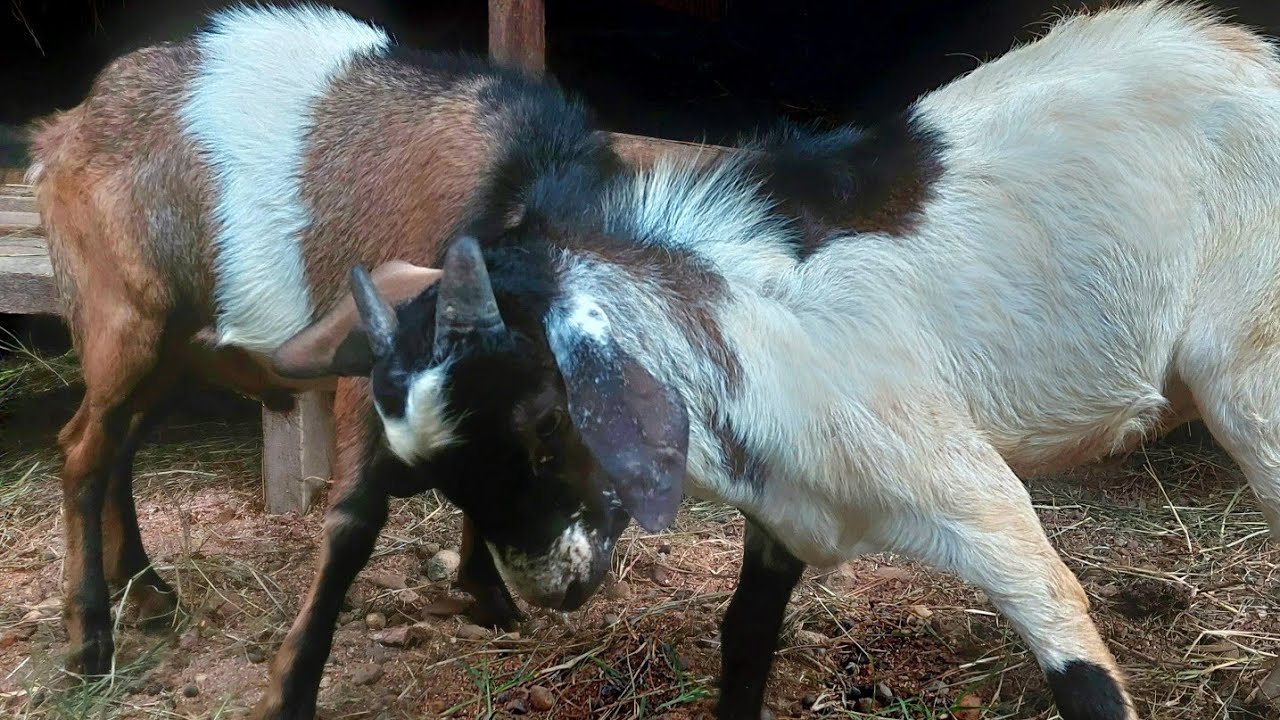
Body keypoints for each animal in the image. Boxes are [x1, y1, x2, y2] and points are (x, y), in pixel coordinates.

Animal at [25, 3, 681, 715]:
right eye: (548, 422)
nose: (560, 589)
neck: (519, 177)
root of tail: (63, 131)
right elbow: (351, 525)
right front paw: (288, 693)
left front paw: (487, 596)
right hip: (123, 321)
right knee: (83, 449)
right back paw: (89, 639)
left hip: (177, 349)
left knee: (119, 444)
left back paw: (146, 593)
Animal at [278, 2, 1280, 718]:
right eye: (435, 479)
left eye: (546, 419)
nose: (551, 587)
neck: (740, 321)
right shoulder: (784, 510)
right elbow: (744, 639)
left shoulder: (968, 492)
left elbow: (1078, 664)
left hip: (1250, 375)